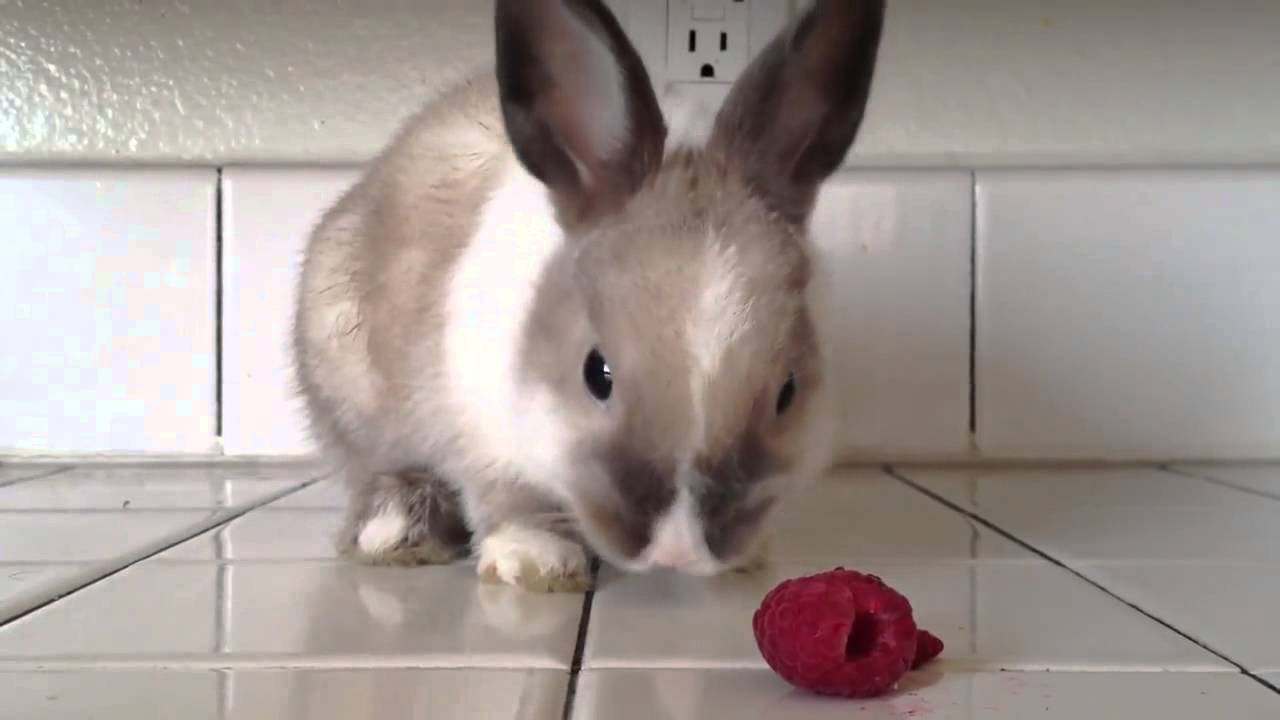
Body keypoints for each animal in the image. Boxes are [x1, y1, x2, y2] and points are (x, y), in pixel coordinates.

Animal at [292, 0, 886, 593]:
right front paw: (538, 561)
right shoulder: (479, 429)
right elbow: (509, 499)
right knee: (377, 469)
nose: (678, 550)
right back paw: (397, 533)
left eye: (788, 392)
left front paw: (749, 558)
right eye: (596, 374)